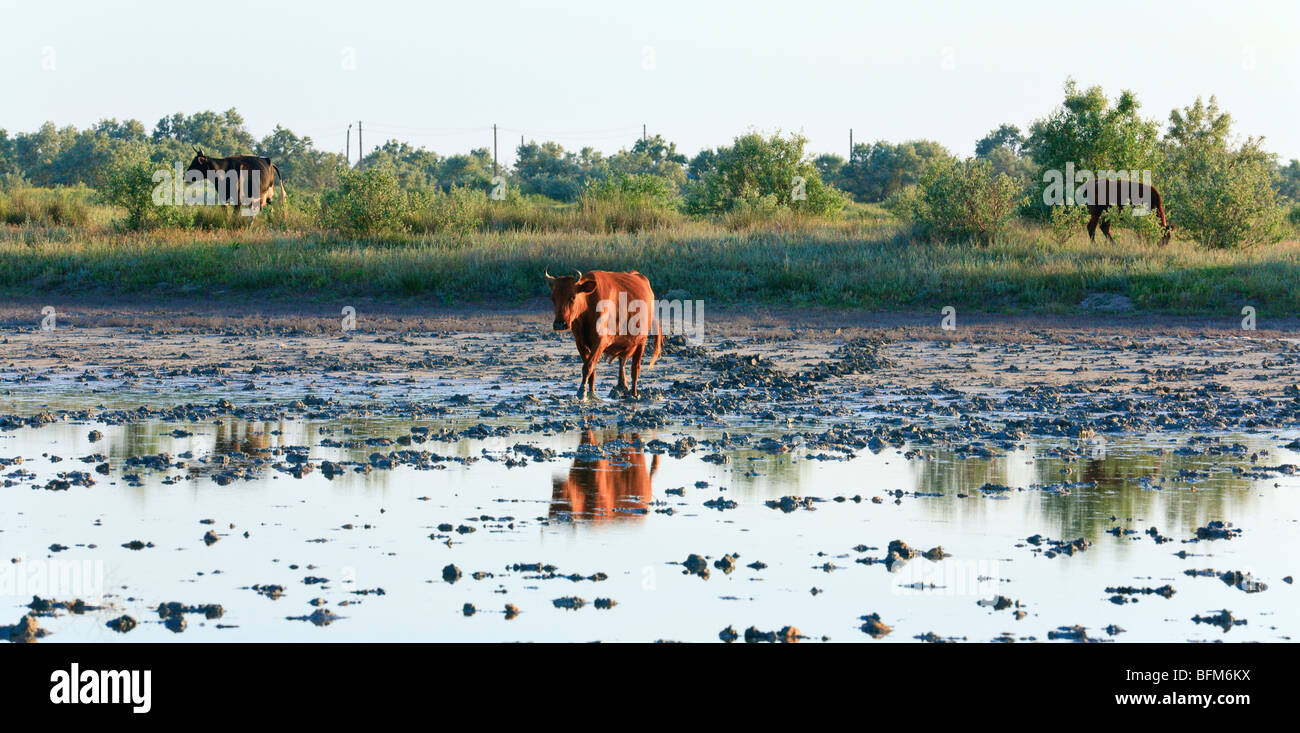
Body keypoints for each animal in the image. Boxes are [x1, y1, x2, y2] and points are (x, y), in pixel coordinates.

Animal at [546, 268, 662, 400]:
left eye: (573, 297)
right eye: (553, 298)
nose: (560, 324)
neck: (588, 306)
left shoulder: (601, 341)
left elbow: (588, 366)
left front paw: (581, 392)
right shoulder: (580, 342)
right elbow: (591, 369)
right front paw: (591, 393)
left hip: (641, 340)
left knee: (635, 369)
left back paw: (633, 393)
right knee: (622, 361)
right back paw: (621, 386)